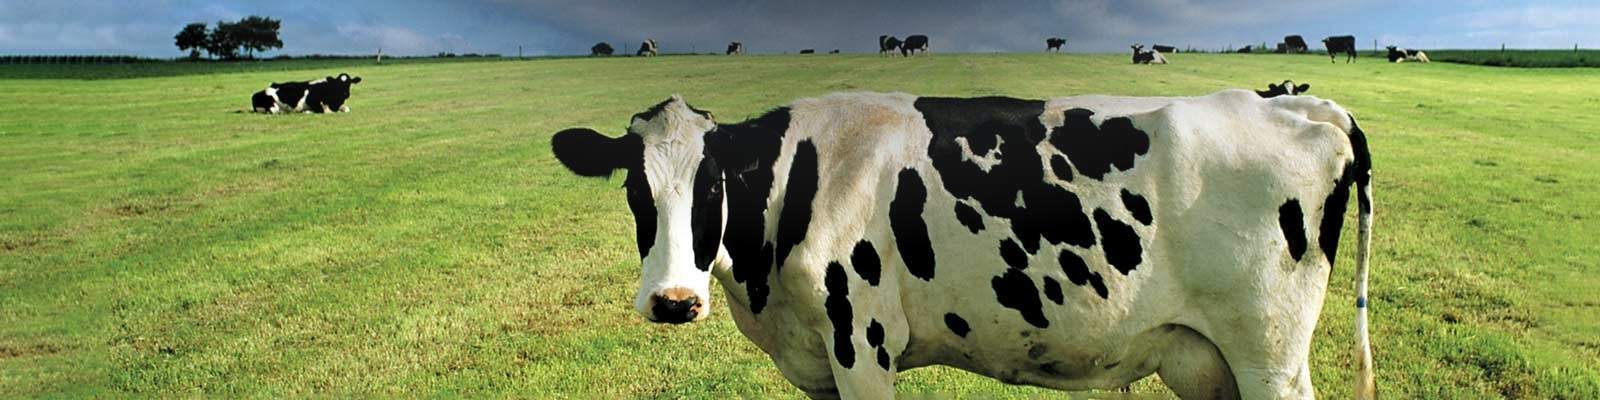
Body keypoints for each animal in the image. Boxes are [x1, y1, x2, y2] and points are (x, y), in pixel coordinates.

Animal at [549, 90, 1376, 399]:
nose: (673, 301)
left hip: (1269, 354)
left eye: (715, 187)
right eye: (635, 191)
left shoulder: (863, 346)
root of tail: (1296, 101)